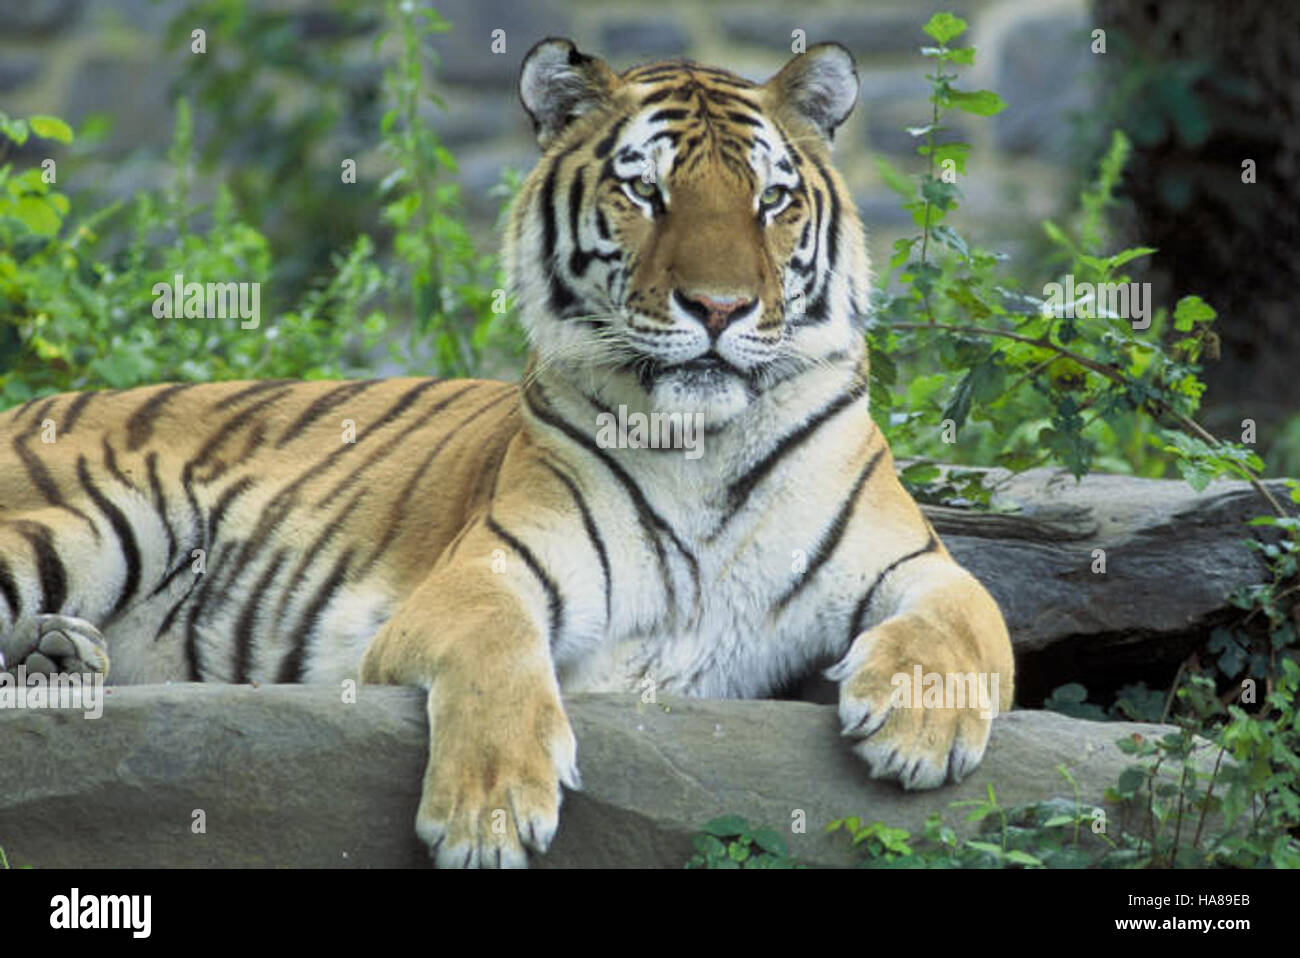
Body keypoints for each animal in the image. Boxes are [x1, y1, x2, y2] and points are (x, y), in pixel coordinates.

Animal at [0, 39, 1014, 868]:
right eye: (646, 192)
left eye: (772, 201)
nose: (720, 308)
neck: (701, 445)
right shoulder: (485, 572)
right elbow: (499, 652)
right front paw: (487, 816)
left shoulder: (913, 559)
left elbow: (971, 619)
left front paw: (920, 733)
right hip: (112, 517)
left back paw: (57, 656)